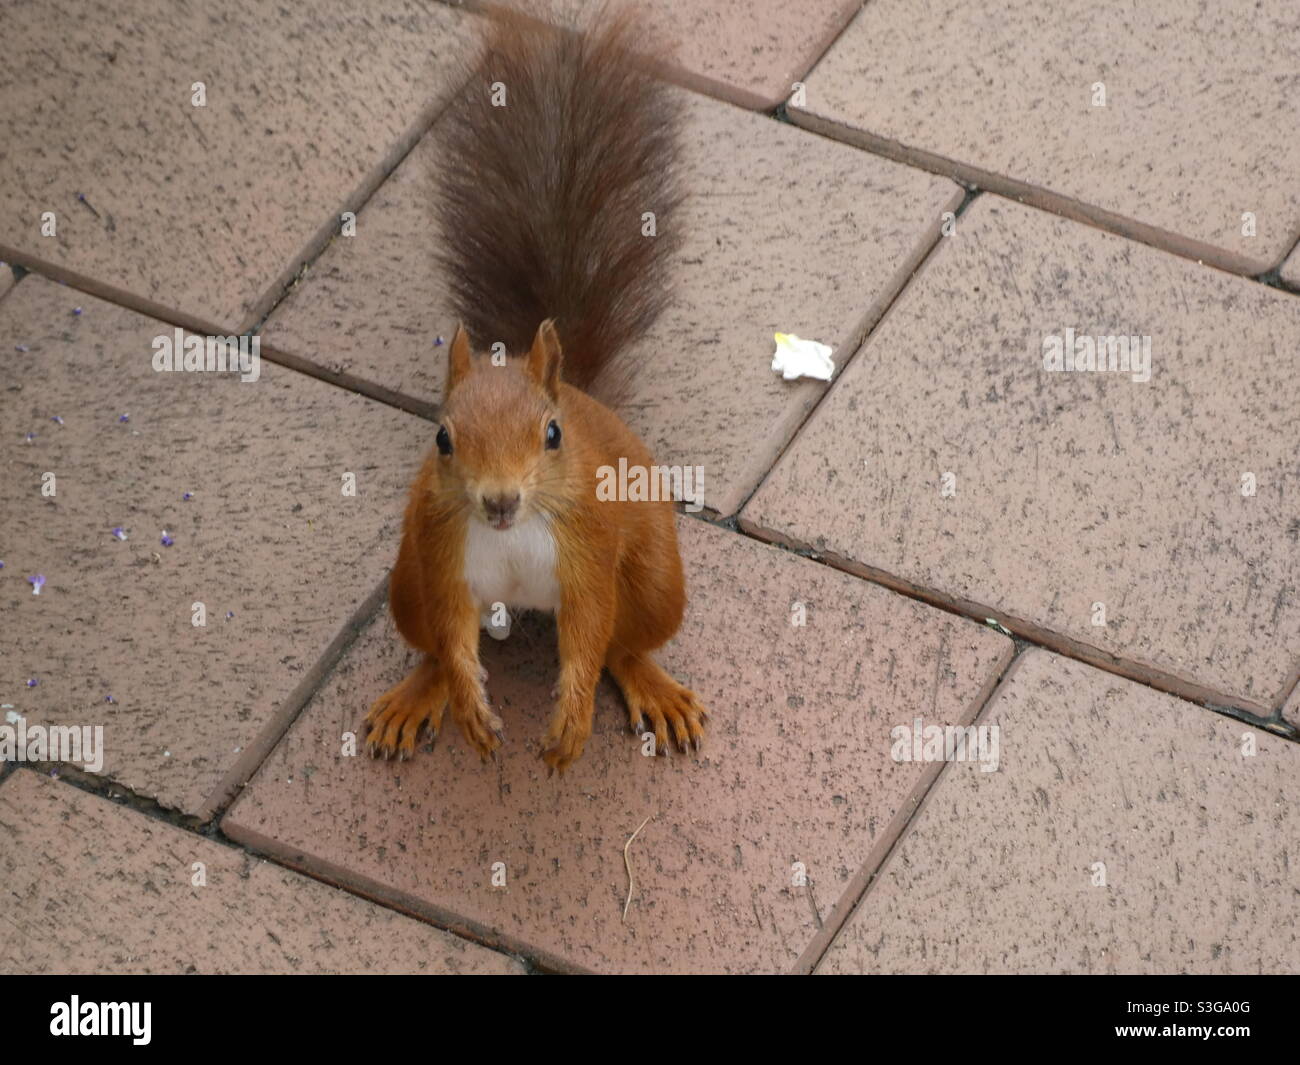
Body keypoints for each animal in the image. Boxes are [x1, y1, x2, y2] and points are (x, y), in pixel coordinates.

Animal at [363, 7, 707, 774]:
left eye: (552, 434)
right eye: (442, 438)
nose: (498, 500)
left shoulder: (590, 548)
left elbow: (589, 630)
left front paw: (570, 721)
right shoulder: (440, 556)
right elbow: (454, 634)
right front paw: (470, 706)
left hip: (657, 577)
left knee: (623, 643)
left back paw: (652, 684)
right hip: (405, 582)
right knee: (431, 645)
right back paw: (421, 693)